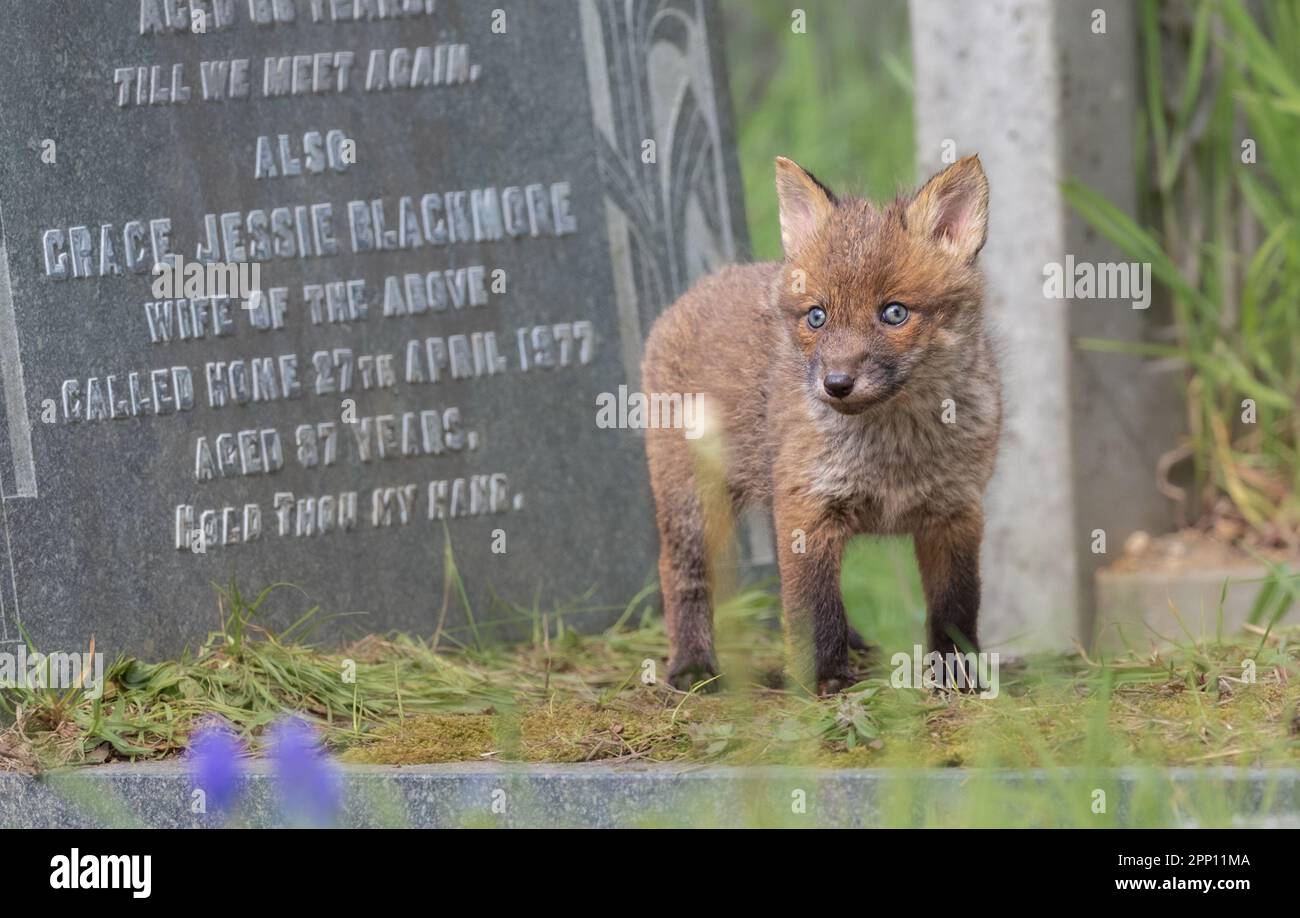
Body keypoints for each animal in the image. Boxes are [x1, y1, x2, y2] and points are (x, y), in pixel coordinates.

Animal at [642, 155, 1001, 694]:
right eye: (817, 317)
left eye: (894, 312)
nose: (836, 384)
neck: (894, 449)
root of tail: (701, 286)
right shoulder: (809, 506)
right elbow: (815, 606)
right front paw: (825, 679)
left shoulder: (955, 512)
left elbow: (955, 607)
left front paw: (956, 674)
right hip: (693, 501)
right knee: (681, 573)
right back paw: (691, 664)